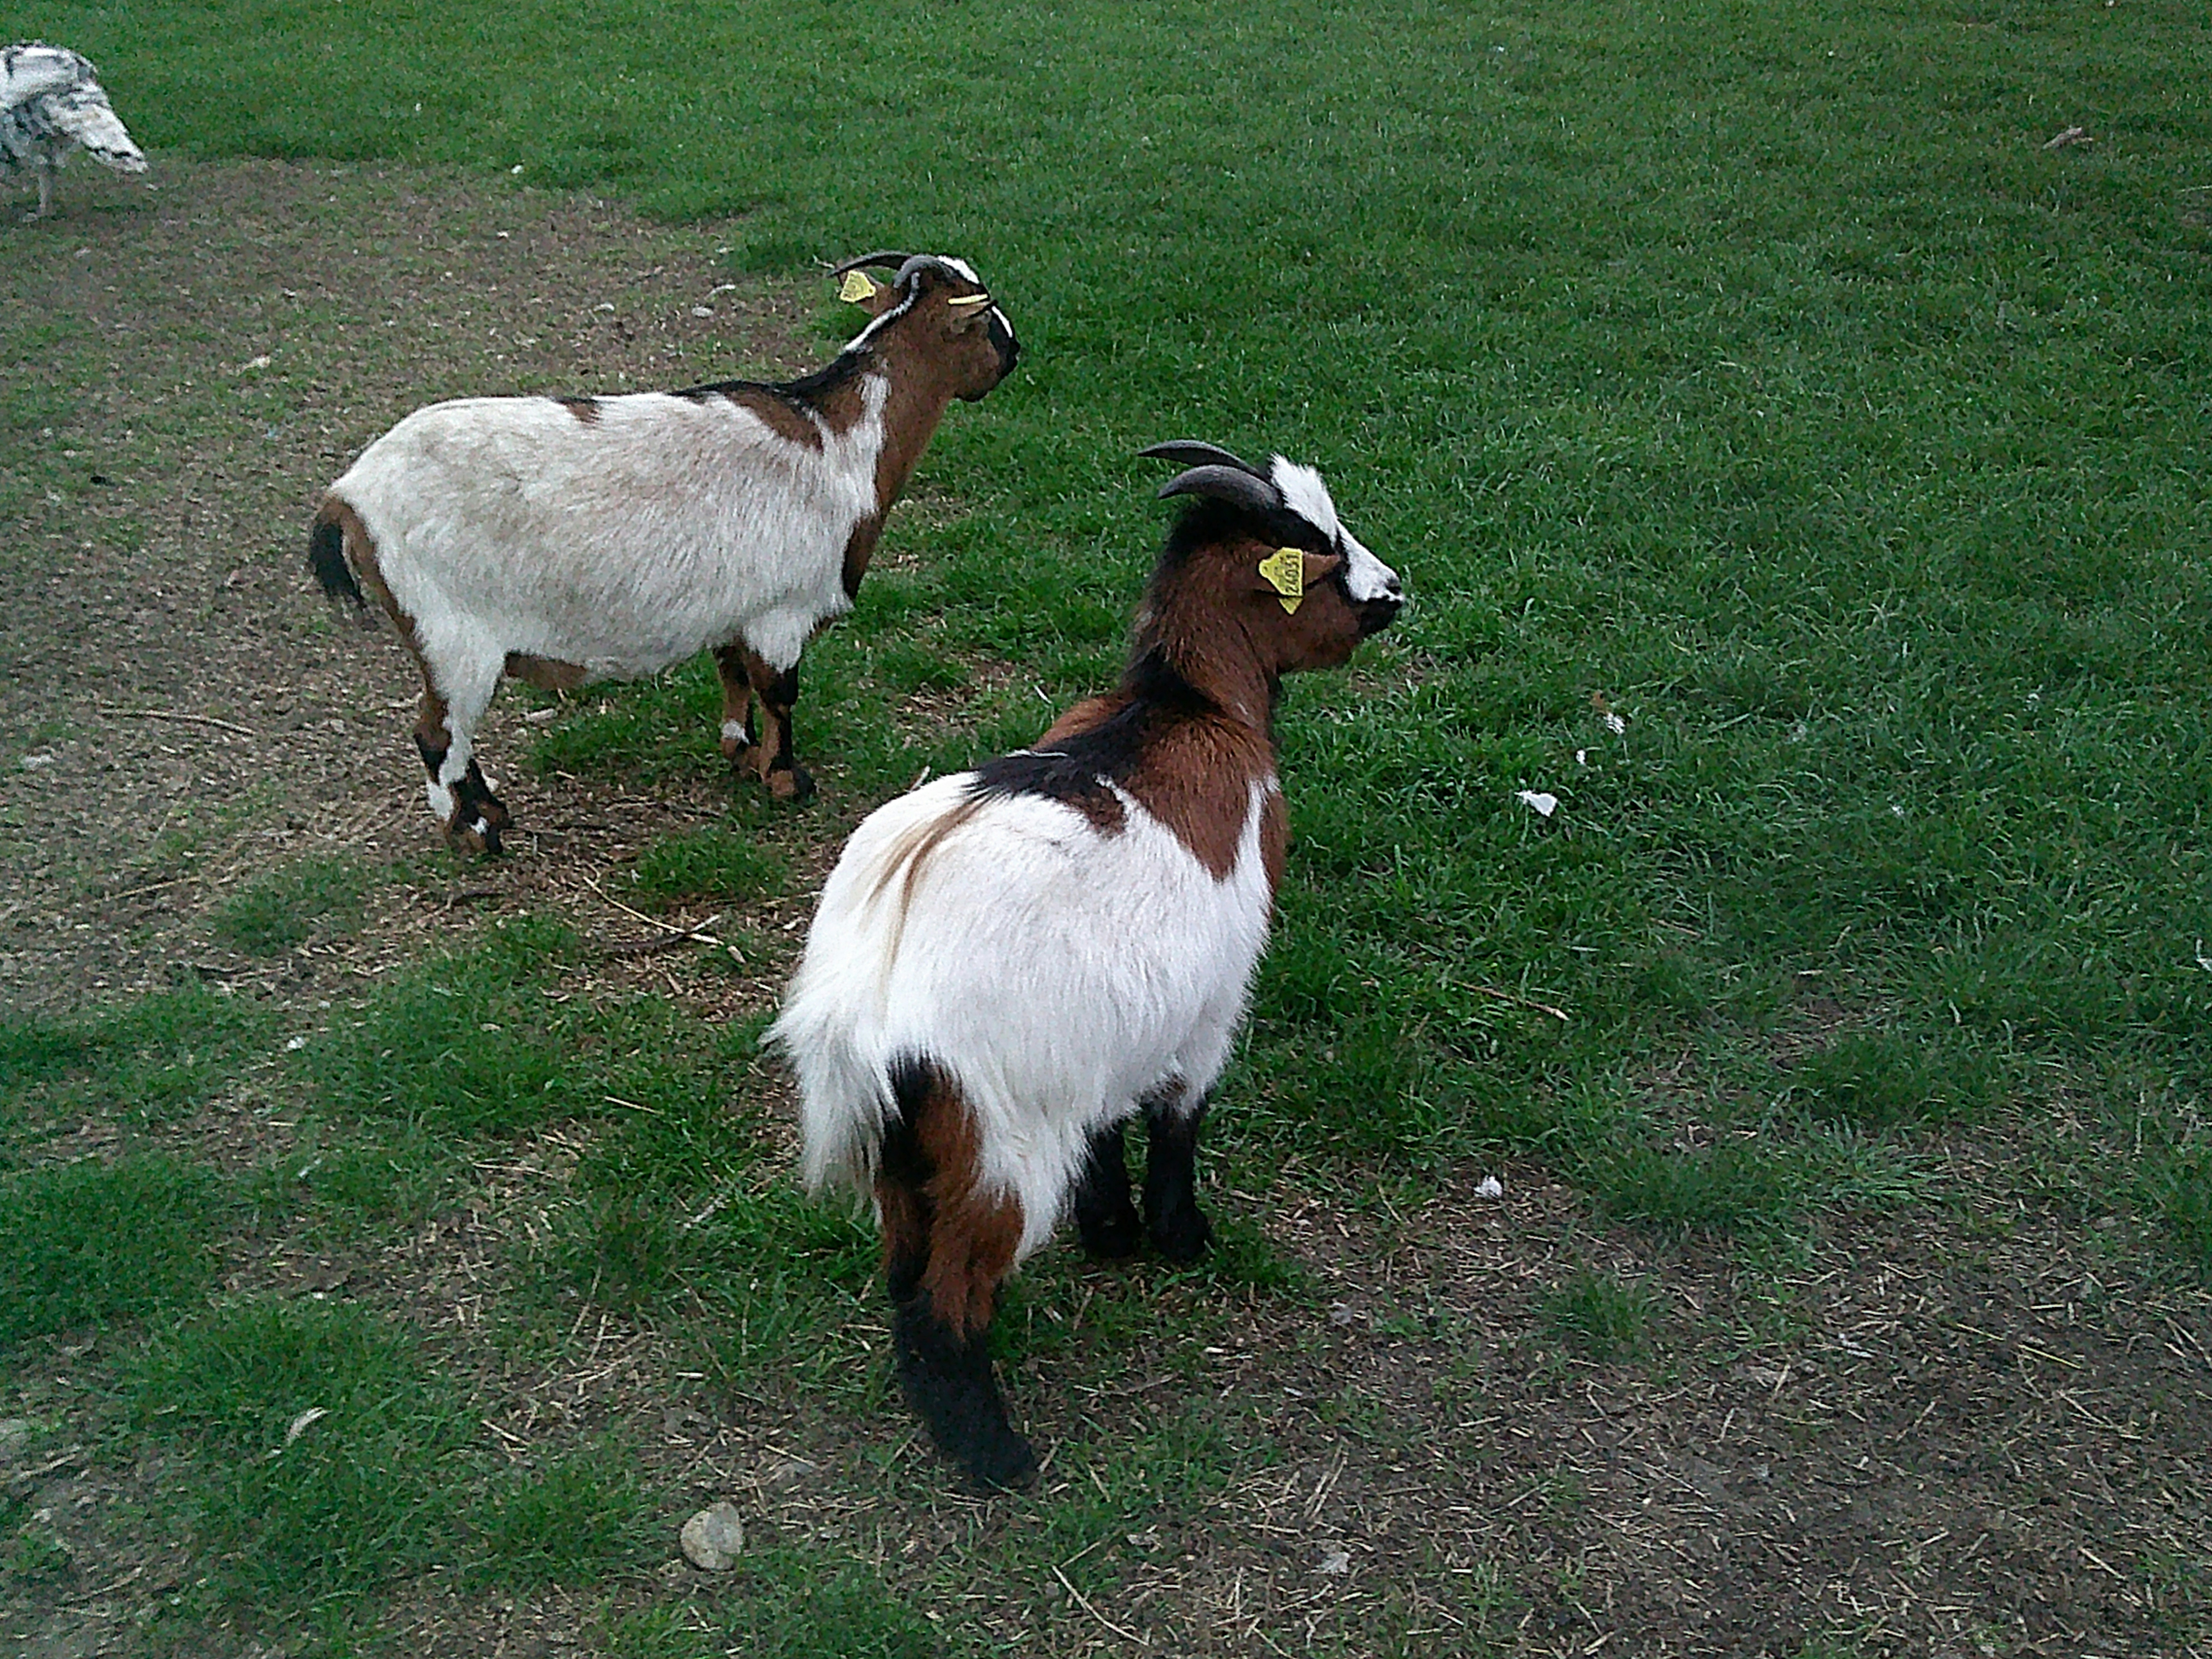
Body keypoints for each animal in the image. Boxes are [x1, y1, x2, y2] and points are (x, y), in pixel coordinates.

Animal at [310, 252, 1018, 852]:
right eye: (985, 322)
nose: (1016, 353)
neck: (839, 437)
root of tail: (347, 496)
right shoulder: (782, 613)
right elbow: (781, 694)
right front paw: (787, 779)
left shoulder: (737, 611)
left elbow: (734, 678)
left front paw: (741, 753)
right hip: (451, 636)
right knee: (438, 735)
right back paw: (476, 831)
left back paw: (493, 812)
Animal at [771, 441, 1403, 1489]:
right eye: (1317, 553)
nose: (1394, 591)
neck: (1182, 705)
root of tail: (868, 1008)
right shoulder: (1212, 998)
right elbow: (1179, 1115)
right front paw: (1180, 1238)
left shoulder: (1104, 1030)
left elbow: (1109, 1117)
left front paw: (1111, 1232)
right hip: (995, 1147)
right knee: (950, 1292)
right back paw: (995, 1454)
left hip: (911, 1151)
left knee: (905, 1275)